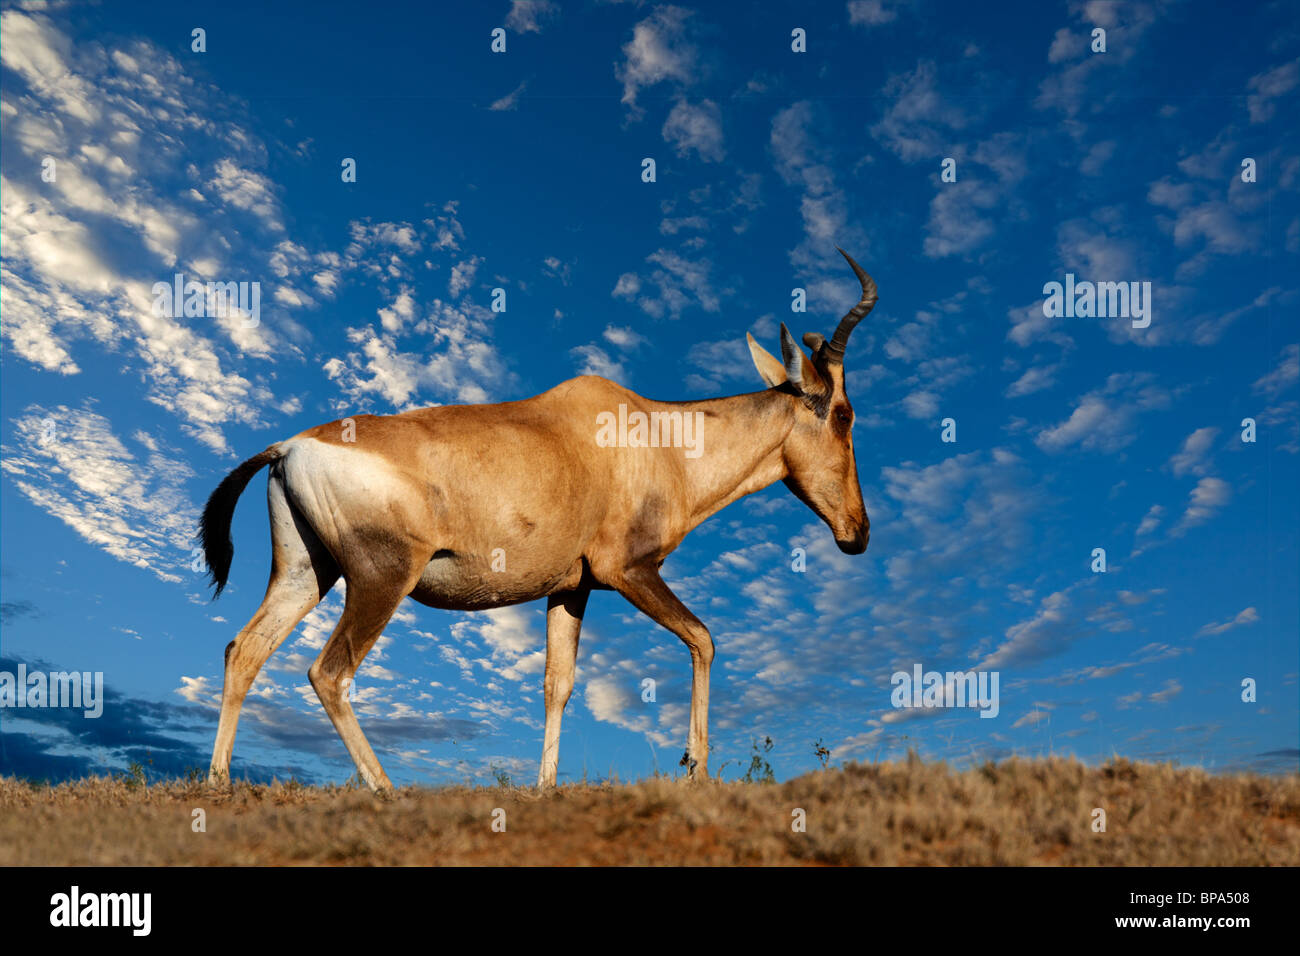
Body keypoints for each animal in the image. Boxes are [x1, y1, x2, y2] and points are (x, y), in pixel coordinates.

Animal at [201, 248, 877, 792]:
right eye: (843, 413)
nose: (859, 532)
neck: (654, 436)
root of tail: (288, 445)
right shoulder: (629, 572)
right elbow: (704, 639)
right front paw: (697, 771)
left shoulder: (572, 589)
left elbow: (559, 682)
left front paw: (545, 787)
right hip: (381, 579)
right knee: (330, 671)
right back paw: (385, 789)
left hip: (306, 574)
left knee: (243, 649)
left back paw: (218, 783)